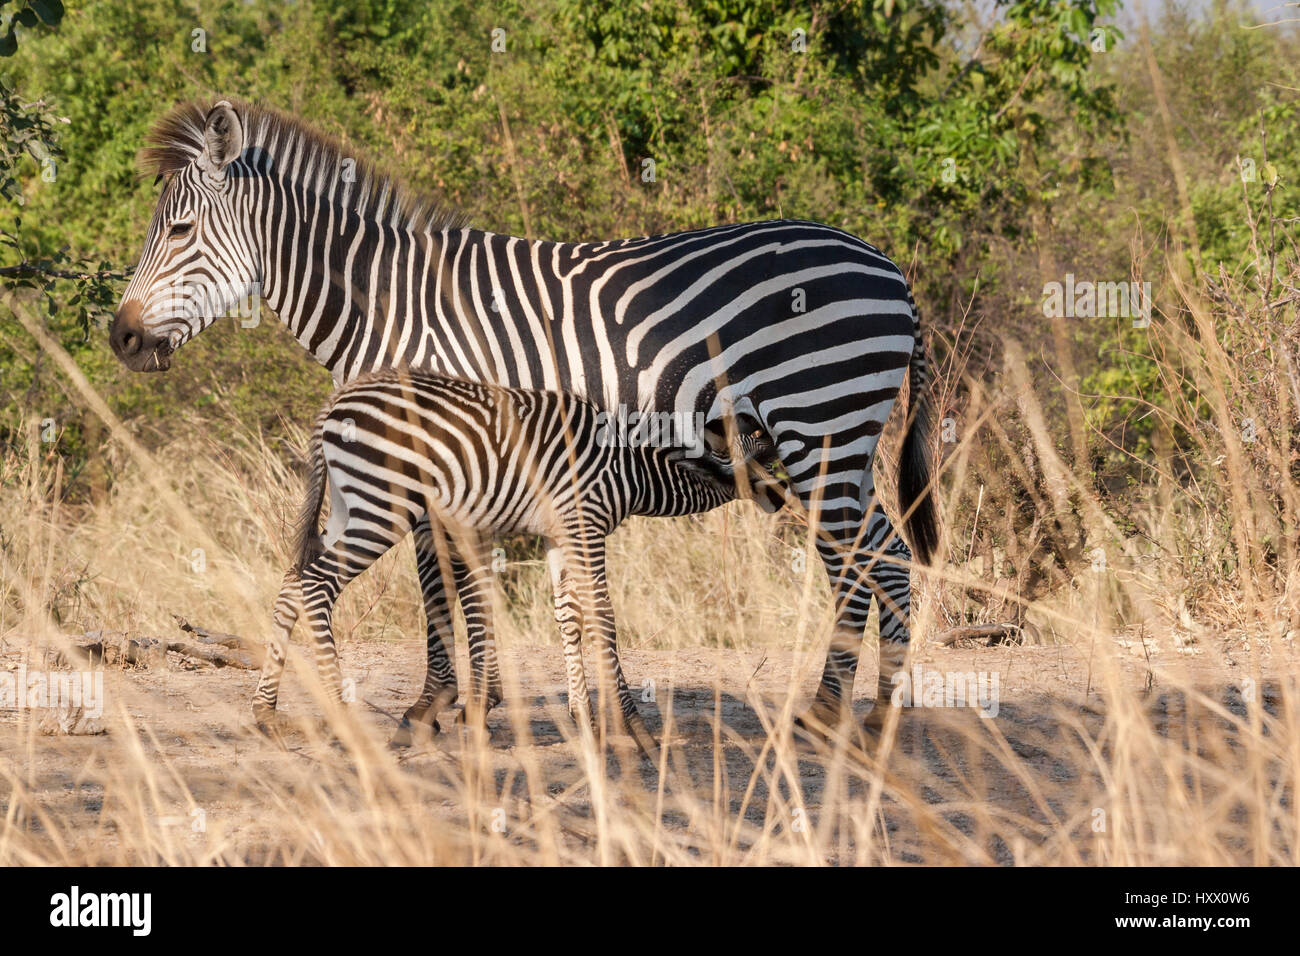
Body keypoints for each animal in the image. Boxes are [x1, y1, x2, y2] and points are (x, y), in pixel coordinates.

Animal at [252, 368, 783, 750]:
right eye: (765, 453)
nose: (786, 499)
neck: (629, 468)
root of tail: (335, 403)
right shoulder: (586, 523)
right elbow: (603, 617)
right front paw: (635, 730)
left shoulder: (560, 533)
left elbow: (569, 615)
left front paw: (583, 721)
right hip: (383, 504)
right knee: (317, 583)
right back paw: (340, 718)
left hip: (349, 503)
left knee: (293, 580)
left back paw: (265, 712)